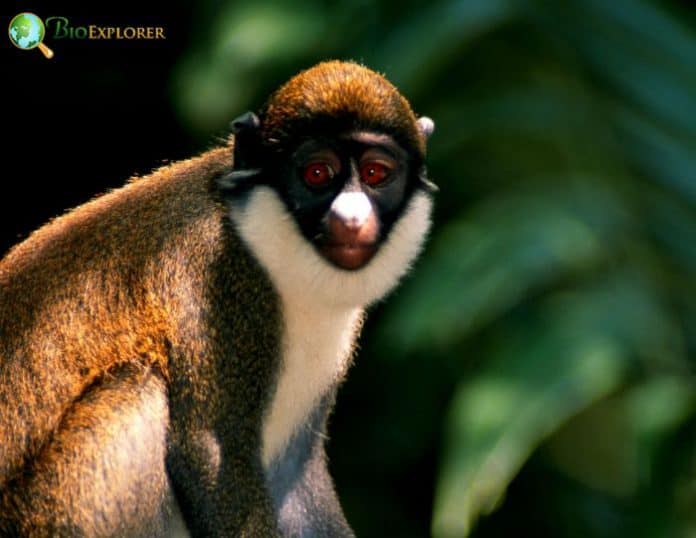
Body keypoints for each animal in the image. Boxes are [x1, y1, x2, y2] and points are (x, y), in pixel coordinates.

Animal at [0, 60, 435, 537]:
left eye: (376, 174)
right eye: (317, 174)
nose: (352, 218)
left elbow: (298, 478)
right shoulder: (222, 277)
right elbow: (213, 455)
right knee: (140, 394)